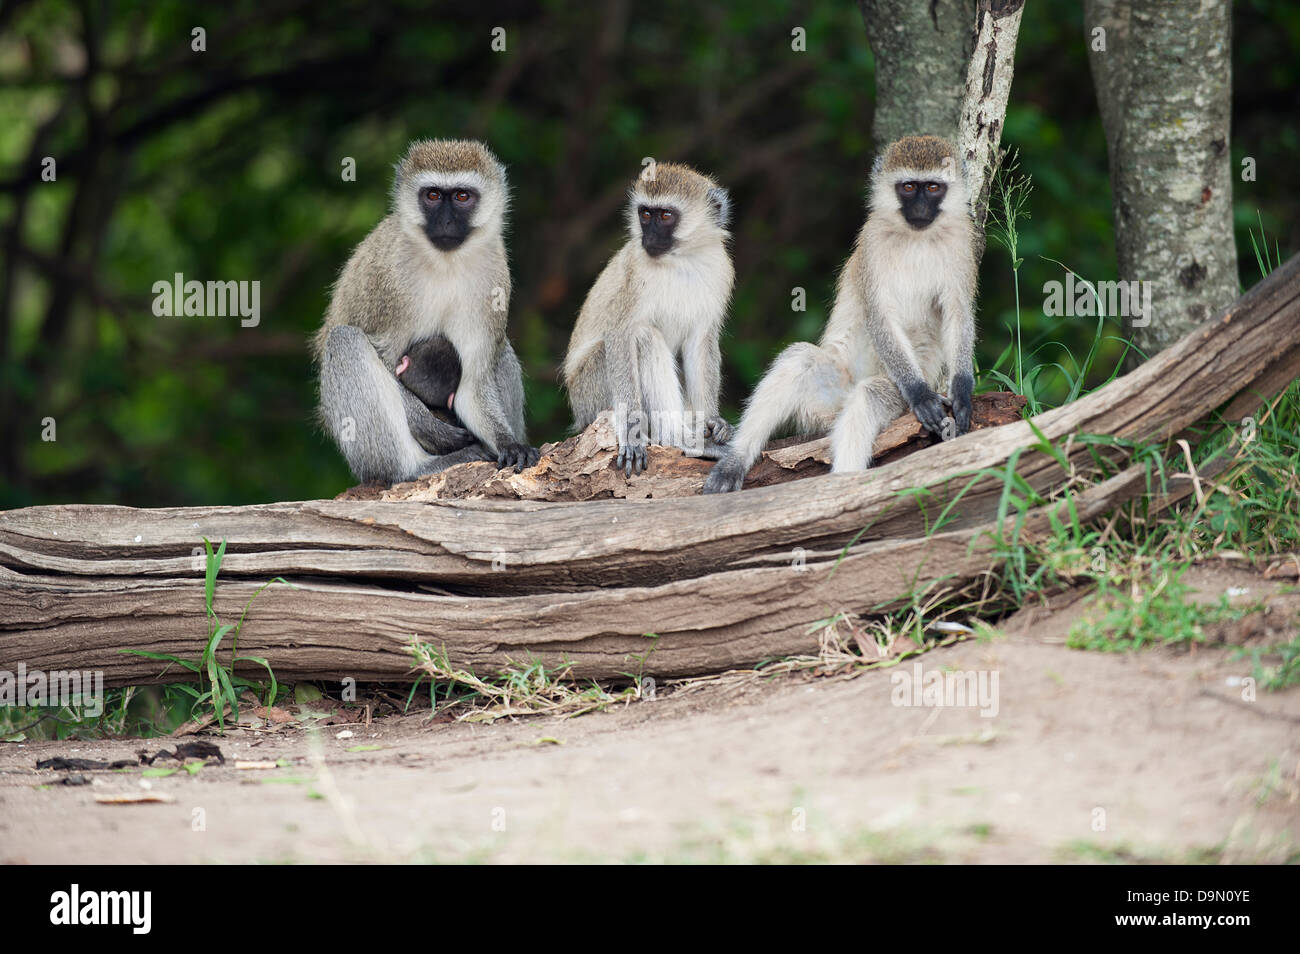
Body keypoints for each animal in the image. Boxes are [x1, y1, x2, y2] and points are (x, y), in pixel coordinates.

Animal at [313, 139, 539, 484]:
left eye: (461, 196)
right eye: (432, 195)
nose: (445, 222)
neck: (445, 261)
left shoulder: (494, 278)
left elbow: (473, 383)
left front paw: (508, 442)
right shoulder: (388, 283)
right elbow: (386, 358)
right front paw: (432, 427)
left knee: (501, 351)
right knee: (344, 340)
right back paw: (414, 468)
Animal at [562, 162, 735, 477]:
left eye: (665, 216)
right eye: (645, 214)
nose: (649, 239)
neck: (681, 260)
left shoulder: (722, 270)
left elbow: (700, 341)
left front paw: (713, 420)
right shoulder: (636, 274)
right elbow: (620, 333)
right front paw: (632, 433)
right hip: (590, 393)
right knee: (644, 338)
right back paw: (679, 439)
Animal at [703, 135, 977, 494]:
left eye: (932, 188)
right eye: (908, 187)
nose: (919, 210)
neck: (917, 237)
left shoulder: (963, 245)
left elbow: (959, 314)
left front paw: (961, 391)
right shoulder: (872, 243)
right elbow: (879, 315)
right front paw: (920, 393)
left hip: (888, 400)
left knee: (867, 397)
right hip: (827, 398)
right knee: (800, 360)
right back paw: (735, 463)